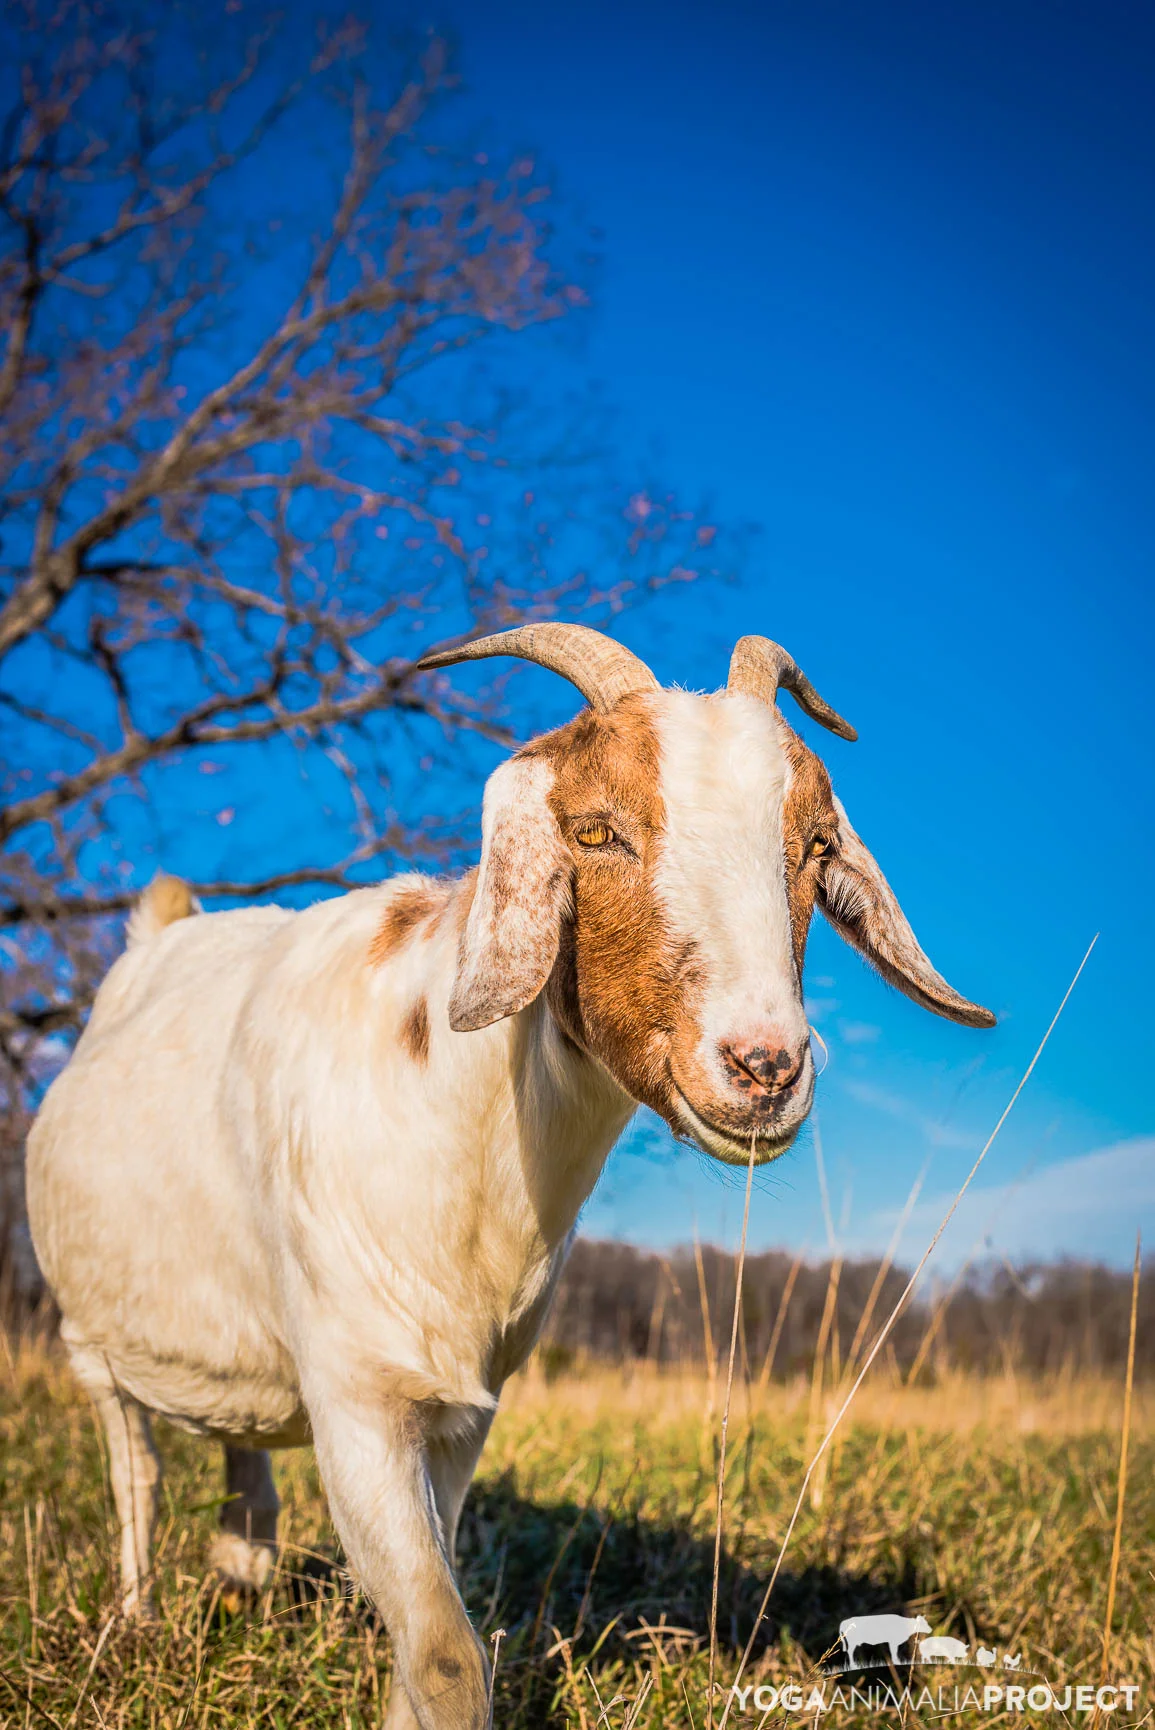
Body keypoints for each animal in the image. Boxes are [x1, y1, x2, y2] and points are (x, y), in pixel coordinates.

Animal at [27, 625, 994, 1729]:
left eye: (817, 847)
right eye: (595, 830)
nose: (764, 1067)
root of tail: (159, 934)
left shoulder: (462, 1411)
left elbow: (428, 1629)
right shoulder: (359, 1396)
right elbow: (445, 1651)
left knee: (243, 1464)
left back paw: (240, 1571)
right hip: (86, 1336)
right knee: (134, 1471)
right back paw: (135, 1618)